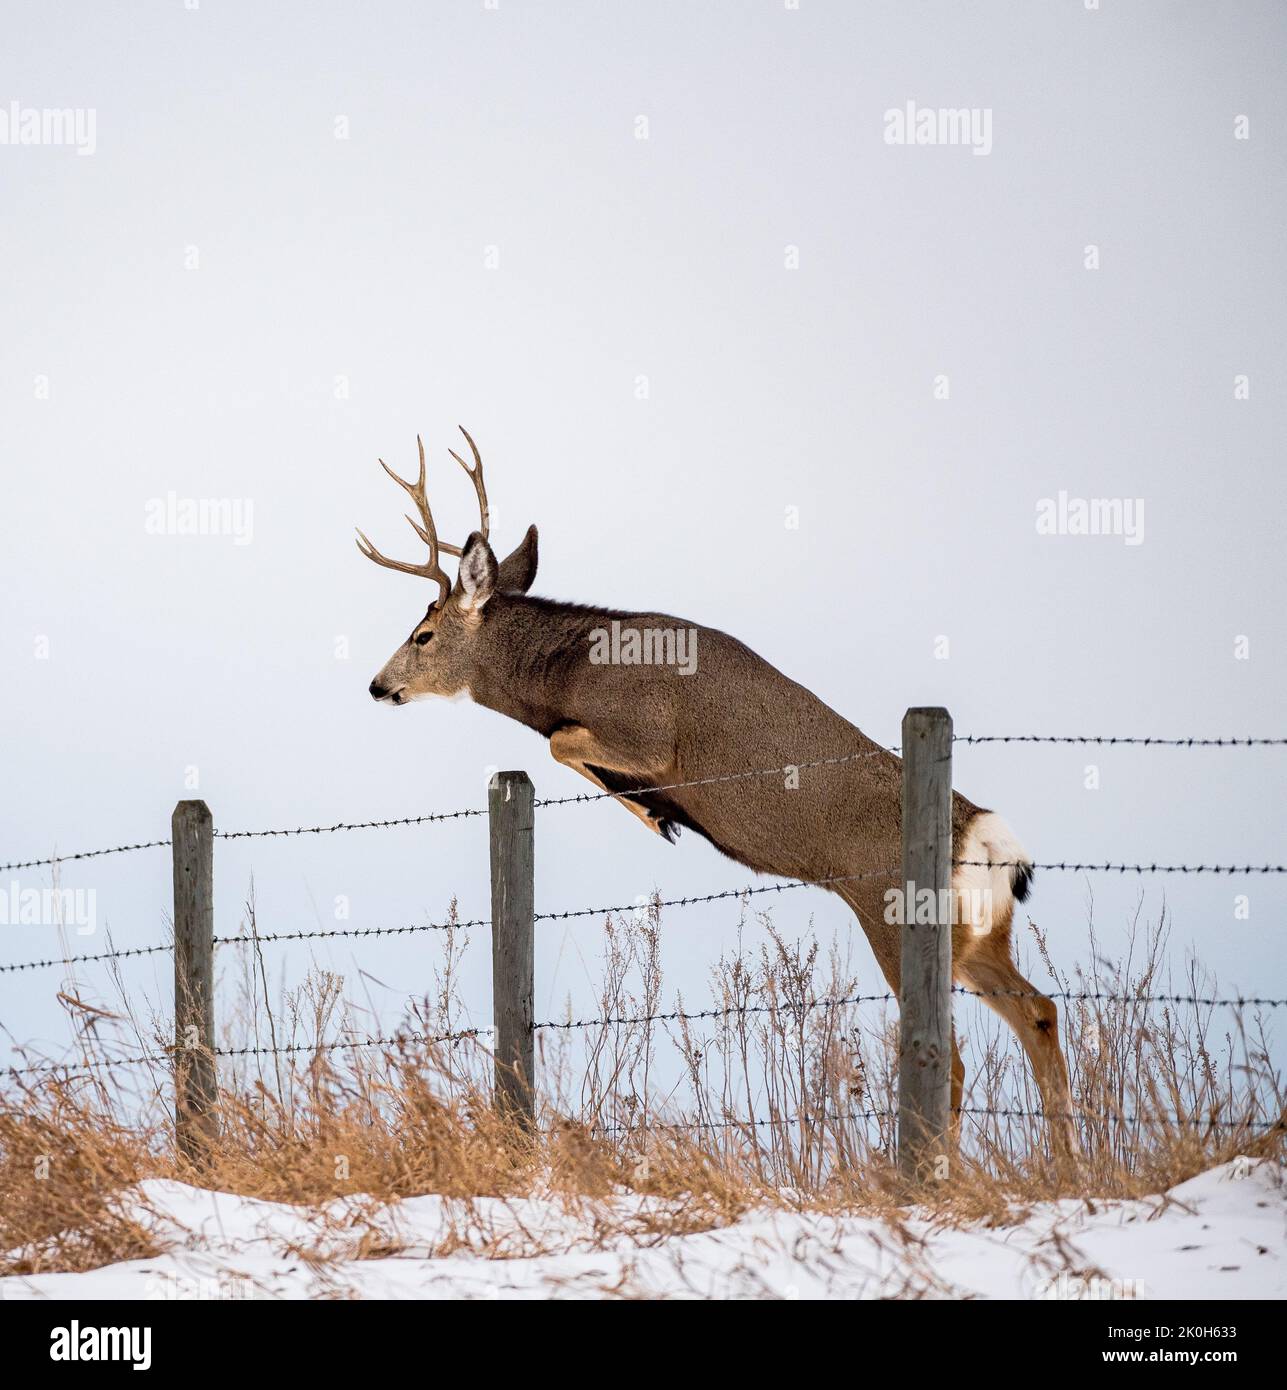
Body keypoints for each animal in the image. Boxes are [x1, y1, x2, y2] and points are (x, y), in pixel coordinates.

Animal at [358, 429, 1077, 1155]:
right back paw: (1066, 1160)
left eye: (422, 635)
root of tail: (985, 836)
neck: (571, 672)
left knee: (950, 1056)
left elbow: (558, 743)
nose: (377, 685)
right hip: (980, 939)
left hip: (897, 917)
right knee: (1042, 1013)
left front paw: (654, 812)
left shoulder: (650, 735)